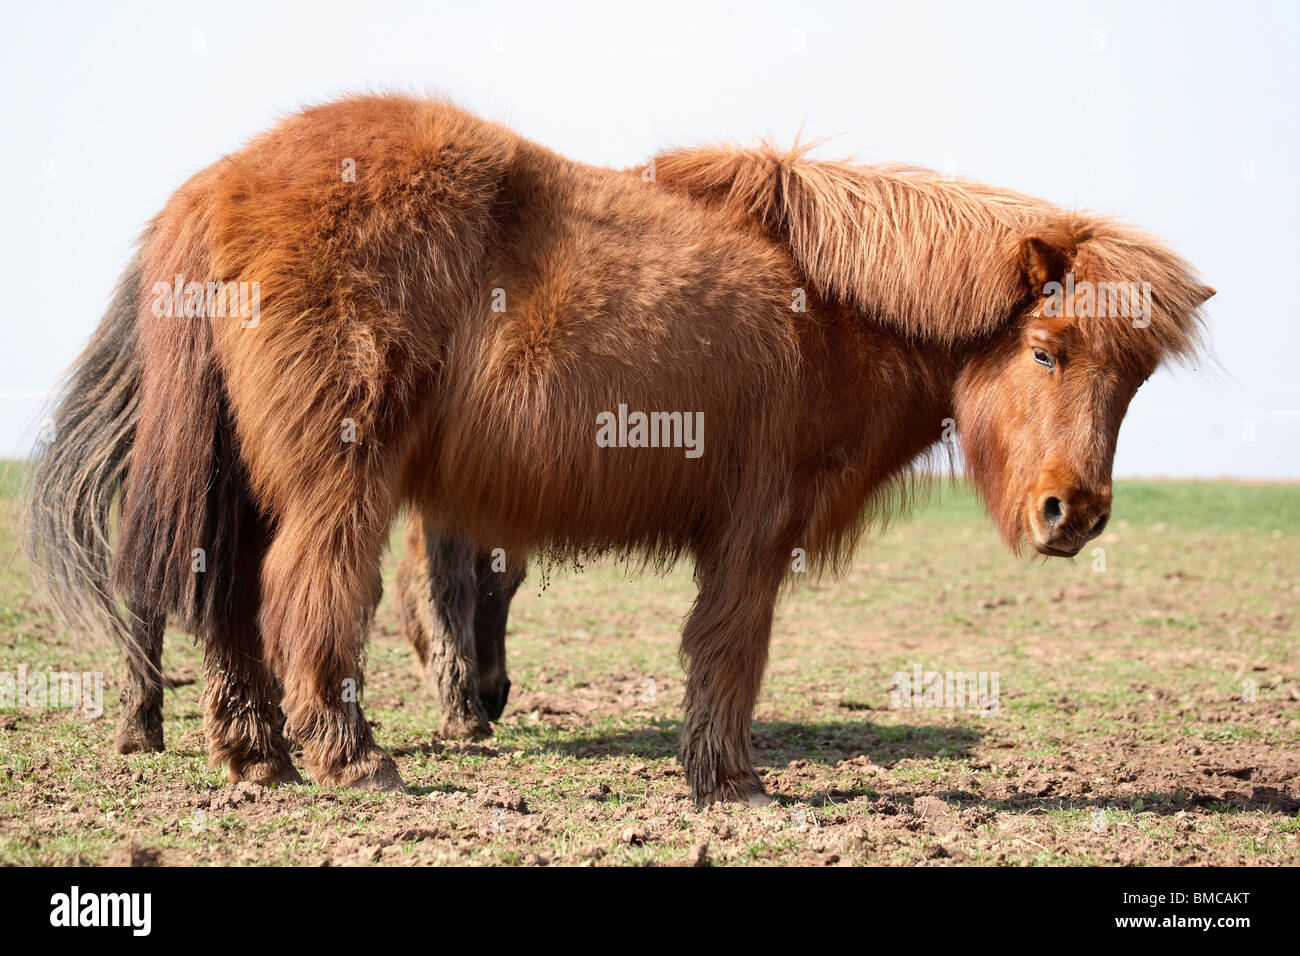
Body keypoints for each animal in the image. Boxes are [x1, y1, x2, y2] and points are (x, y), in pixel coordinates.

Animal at [24, 94, 1212, 805]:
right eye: (1048, 350)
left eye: (1132, 380)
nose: (1074, 514)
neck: (832, 301)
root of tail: (216, 183)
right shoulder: (754, 529)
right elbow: (730, 647)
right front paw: (729, 781)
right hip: (337, 482)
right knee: (300, 598)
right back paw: (353, 760)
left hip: (242, 478)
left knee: (223, 601)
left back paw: (256, 758)